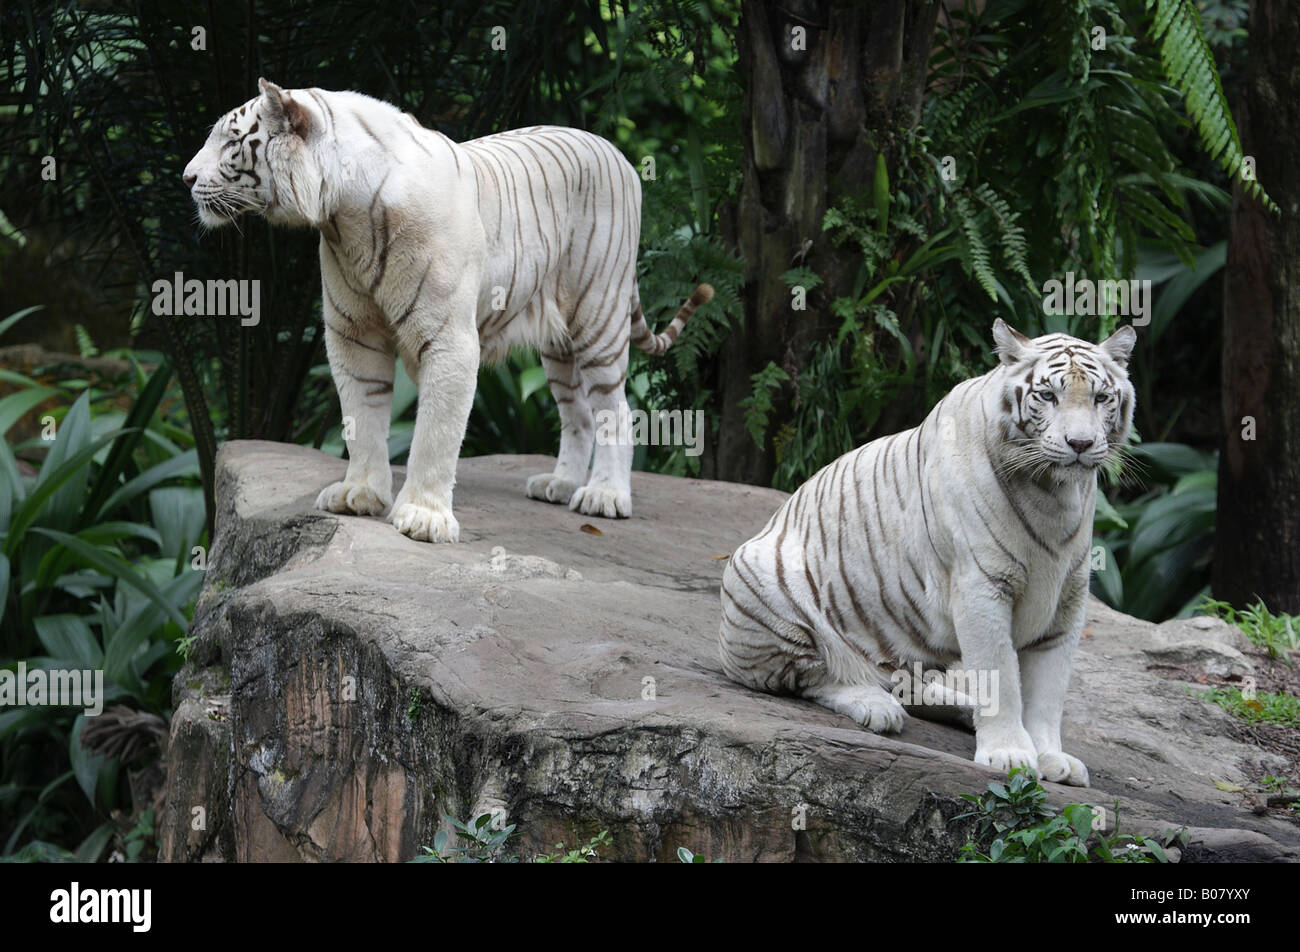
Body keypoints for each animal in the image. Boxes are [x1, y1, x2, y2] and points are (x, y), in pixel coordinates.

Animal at [182, 78, 712, 542]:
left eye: (232, 141)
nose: (186, 178)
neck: (344, 217)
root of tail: (617, 152)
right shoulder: (353, 334)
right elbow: (361, 418)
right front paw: (360, 493)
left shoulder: (449, 339)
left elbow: (435, 434)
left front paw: (423, 516)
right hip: (557, 344)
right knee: (577, 413)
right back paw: (559, 484)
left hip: (597, 313)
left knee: (615, 409)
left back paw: (604, 495)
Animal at [718, 319, 1137, 786]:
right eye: (1048, 396)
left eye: (1100, 398)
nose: (1080, 443)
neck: (1054, 494)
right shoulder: (981, 587)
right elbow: (1001, 675)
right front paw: (1010, 753)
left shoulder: (1068, 600)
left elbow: (1049, 689)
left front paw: (1050, 758)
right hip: (757, 578)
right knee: (814, 677)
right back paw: (877, 706)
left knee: (911, 685)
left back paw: (961, 707)